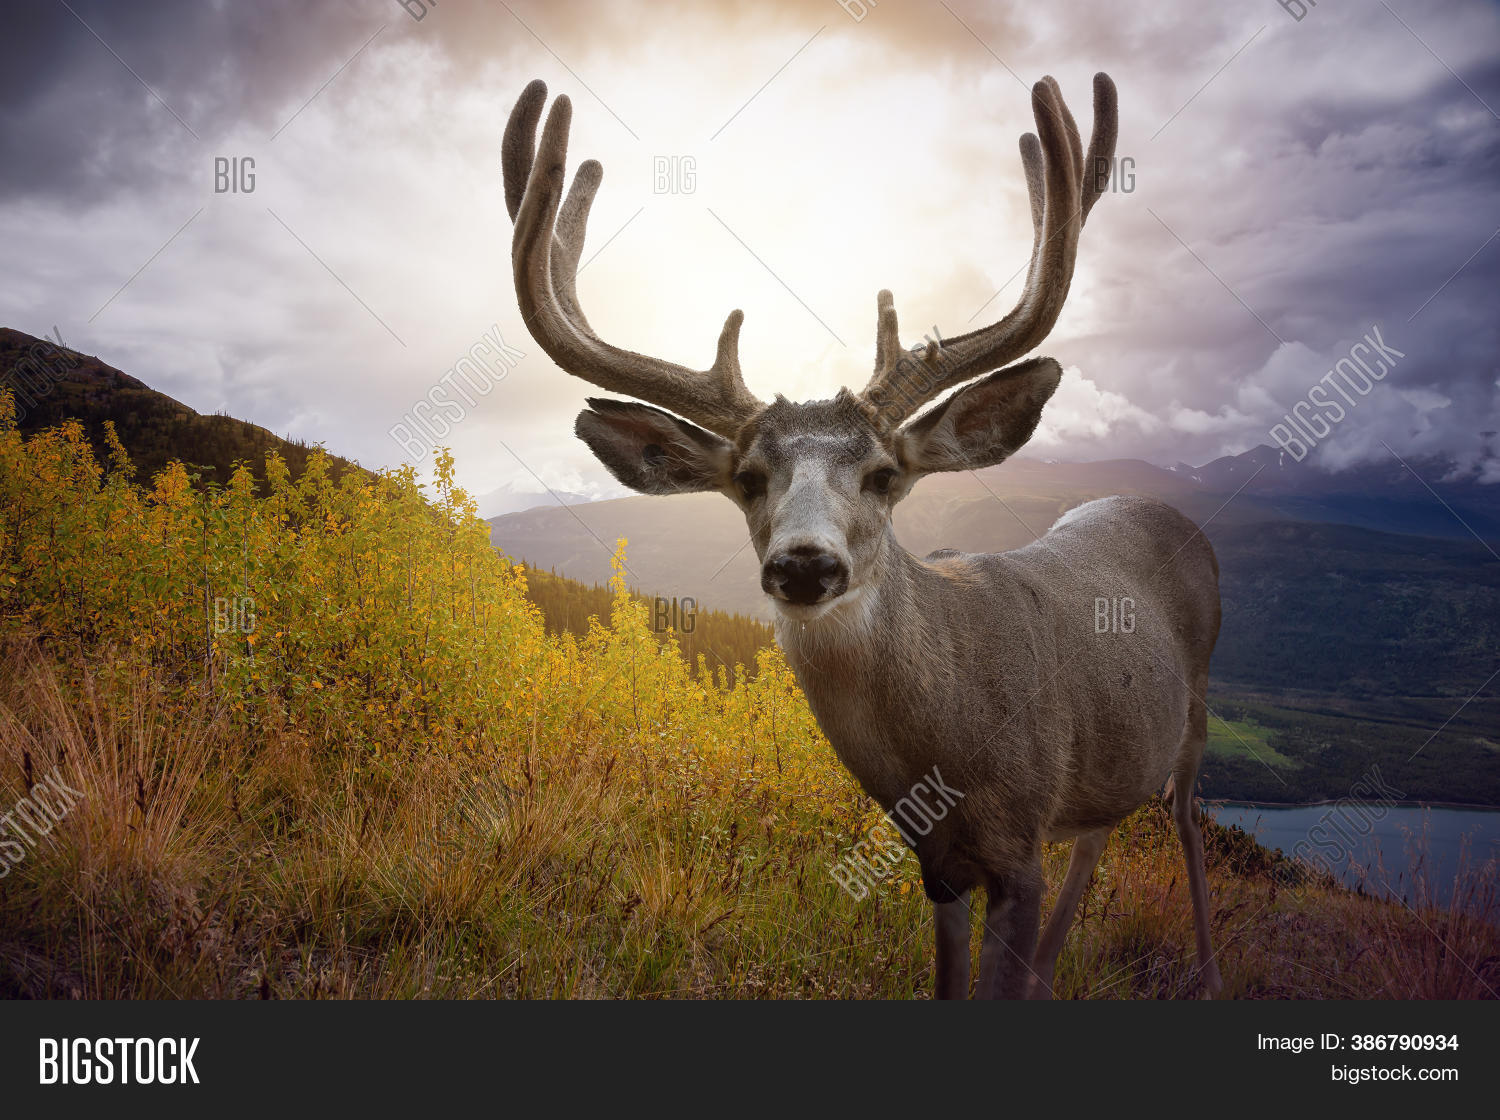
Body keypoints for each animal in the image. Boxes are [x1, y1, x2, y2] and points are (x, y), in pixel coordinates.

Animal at [499, 73, 1223, 1000]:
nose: (805, 565)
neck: (944, 759)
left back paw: (1204, 969)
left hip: (1195, 710)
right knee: (1102, 828)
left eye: (883, 474)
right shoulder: (938, 866)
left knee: (1185, 816)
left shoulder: (1019, 846)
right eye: (748, 479)